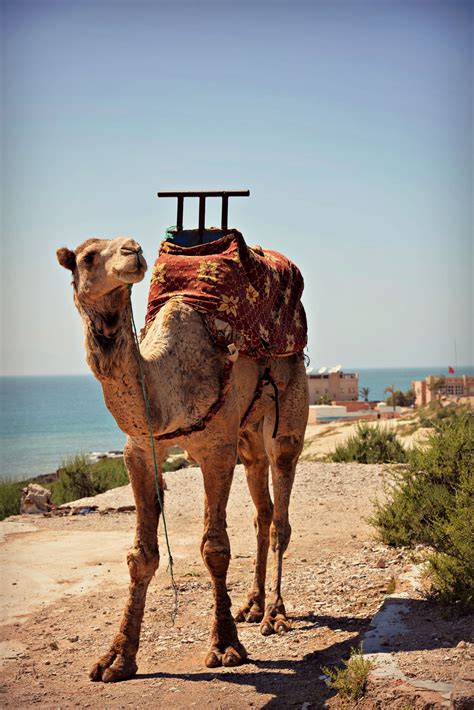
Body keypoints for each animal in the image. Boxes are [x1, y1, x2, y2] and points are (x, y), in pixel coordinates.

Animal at [57, 236, 308, 682]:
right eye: (87, 257)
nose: (132, 251)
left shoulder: (217, 449)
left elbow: (215, 549)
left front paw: (225, 647)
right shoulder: (140, 449)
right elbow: (141, 555)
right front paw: (116, 659)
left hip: (288, 408)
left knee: (281, 512)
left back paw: (275, 615)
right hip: (248, 434)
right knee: (262, 509)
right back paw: (252, 605)